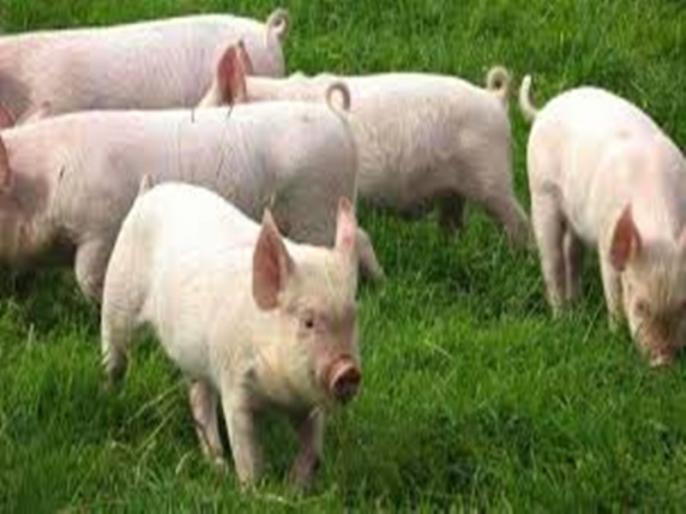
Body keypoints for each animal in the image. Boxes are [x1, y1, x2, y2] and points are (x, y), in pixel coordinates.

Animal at [0, 96, 383, 303]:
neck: (44, 188)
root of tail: (340, 124)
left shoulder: (101, 228)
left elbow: (89, 275)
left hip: (315, 207)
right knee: (361, 237)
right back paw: (380, 284)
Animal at [101, 182, 362, 487]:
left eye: (353, 318)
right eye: (308, 321)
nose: (348, 370)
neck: (279, 395)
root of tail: (147, 193)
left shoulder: (307, 403)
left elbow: (313, 450)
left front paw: (295, 488)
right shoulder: (234, 381)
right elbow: (246, 450)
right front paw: (252, 489)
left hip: (198, 360)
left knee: (199, 398)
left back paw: (217, 465)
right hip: (117, 296)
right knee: (114, 353)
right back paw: (110, 394)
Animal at [519, 76, 686, 366]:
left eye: (685, 304)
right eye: (640, 305)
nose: (664, 362)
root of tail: (543, 111)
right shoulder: (608, 240)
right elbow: (613, 293)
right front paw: (615, 333)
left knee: (572, 252)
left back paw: (577, 304)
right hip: (541, 191)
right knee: (551, 259)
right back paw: (562, 318)